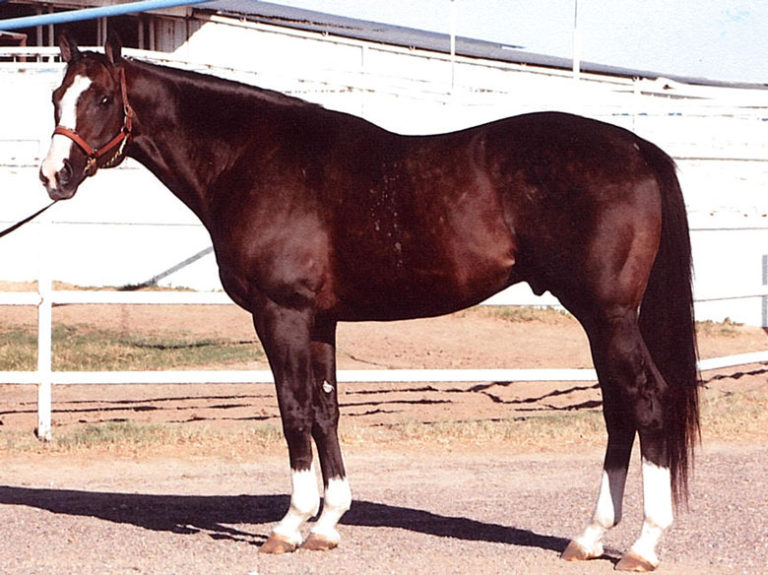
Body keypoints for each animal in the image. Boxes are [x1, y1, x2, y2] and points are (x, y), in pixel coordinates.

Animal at [39, 33, 699, 572]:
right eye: (55, 96)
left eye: (103, 99)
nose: (53, 176)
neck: (252, 158)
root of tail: (635, 148)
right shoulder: (319, 321)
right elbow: (326, 411)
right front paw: (328, 523)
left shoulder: (281, 315)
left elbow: (294, 410)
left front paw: (289, 526)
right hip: (598, 318)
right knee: (617, 408)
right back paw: (589, 537)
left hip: (608, 315)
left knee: (645, 400)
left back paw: (643, 545)